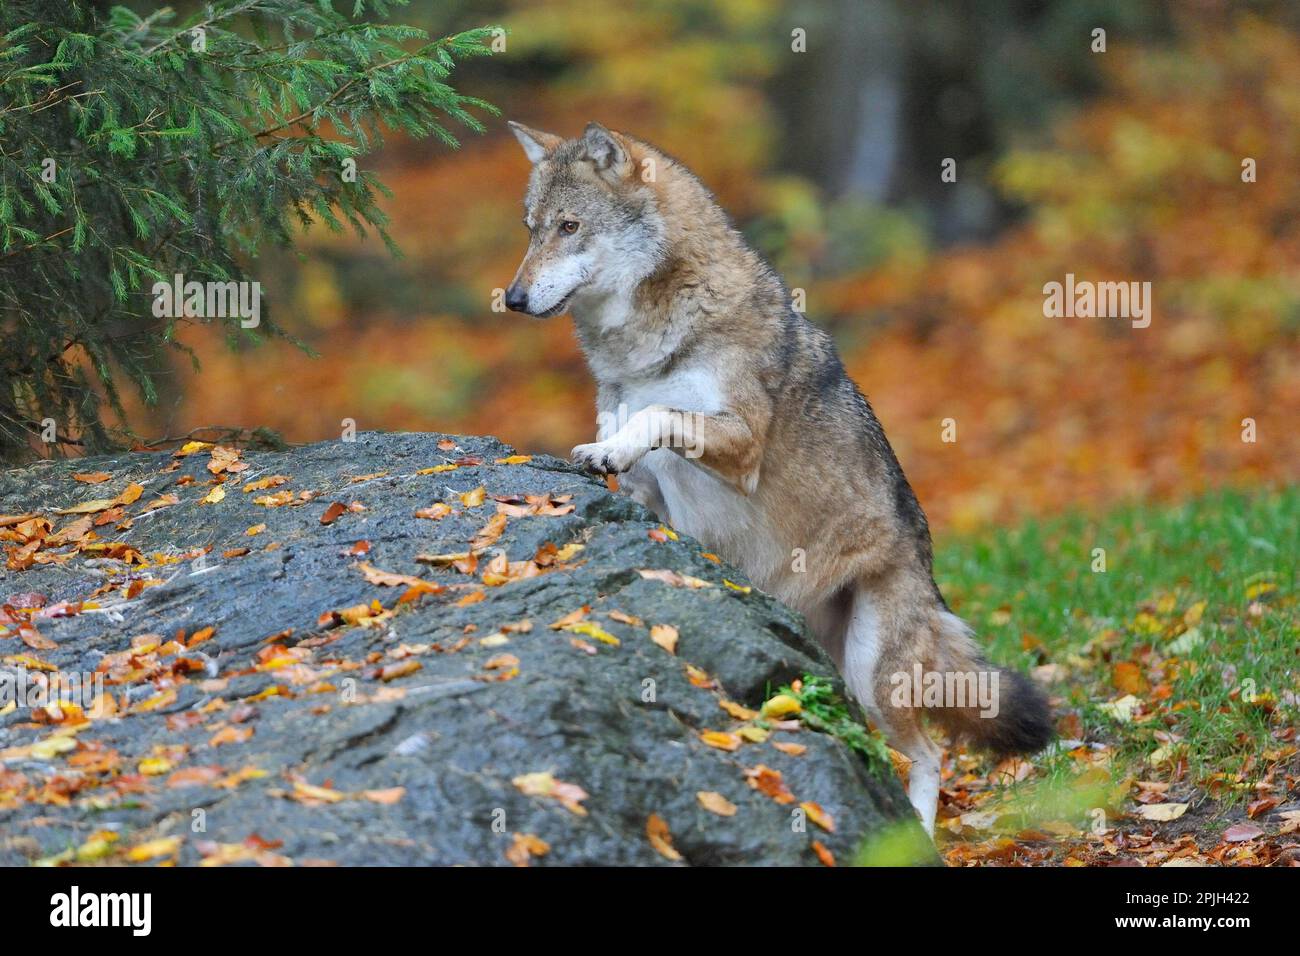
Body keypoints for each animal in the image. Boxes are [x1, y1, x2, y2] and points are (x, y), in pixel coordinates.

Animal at [504, 120, 1053, 835]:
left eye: (570, 226)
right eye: (530, 229)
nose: (512, 298)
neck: (644, 347)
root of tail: (935, 589)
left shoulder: (740, 444)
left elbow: (657, 413)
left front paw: (607, 450)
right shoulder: (653, 490)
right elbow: (636, 447)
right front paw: (605, 457)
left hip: (872, 673)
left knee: (930, 755)